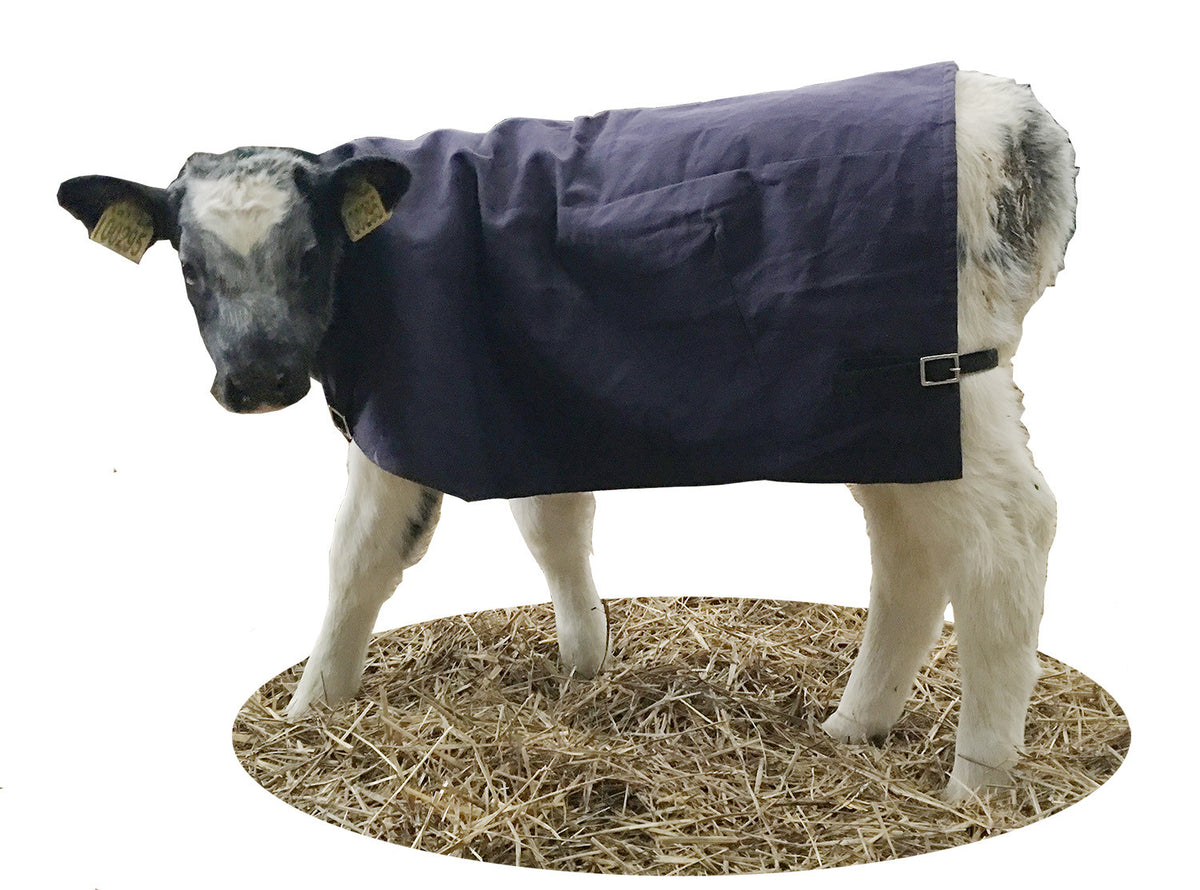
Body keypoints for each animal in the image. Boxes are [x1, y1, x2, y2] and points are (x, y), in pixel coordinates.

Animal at [57, 63, 1076, 801]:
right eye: (188, 267)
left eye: (310, 254)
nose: (259, 381)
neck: (378, 263)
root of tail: (1010, 115)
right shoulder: (530, 398)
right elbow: (553, 528)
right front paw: (587, 668)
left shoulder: (402, 416)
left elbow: (358, 559)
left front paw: (312, 711)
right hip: (882, 416)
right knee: (909, 552)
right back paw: (854, 726)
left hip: (949, 385)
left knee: (1007, 539)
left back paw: (976, 783)